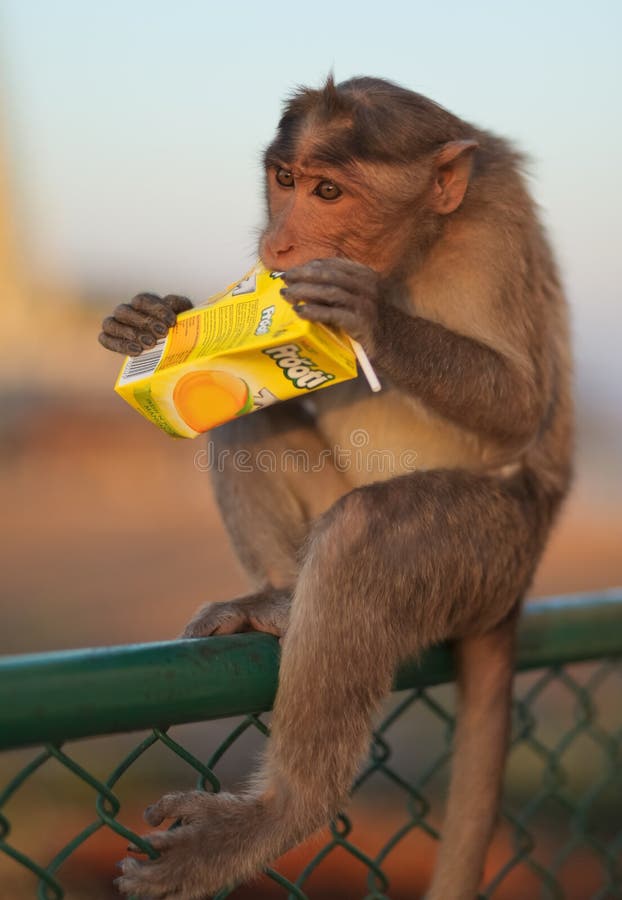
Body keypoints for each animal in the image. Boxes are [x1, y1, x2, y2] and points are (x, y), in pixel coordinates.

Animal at [102, 75, 573, 899]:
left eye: (329, 191)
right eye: (285, 180)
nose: (280, 244)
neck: (419, 248)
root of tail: (515, 591)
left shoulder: (496, 230)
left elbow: (521, 402)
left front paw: (371, 315)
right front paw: (154, 321)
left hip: (491, 557)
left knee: (367, 534)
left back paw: (280, 813)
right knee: (248, 421)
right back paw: (279, 599)